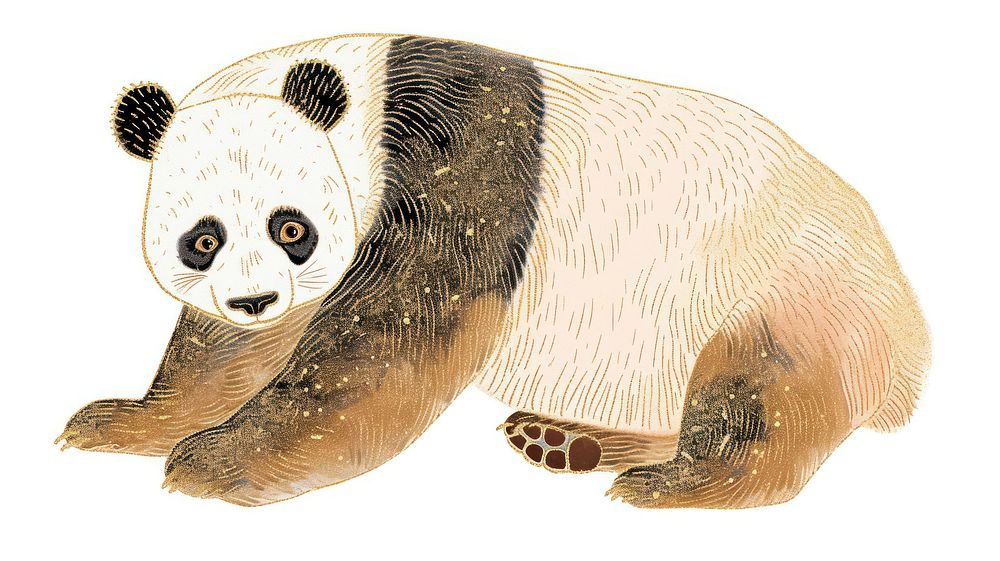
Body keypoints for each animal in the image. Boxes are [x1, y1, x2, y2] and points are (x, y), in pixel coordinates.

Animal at [58, 34, 930, 508]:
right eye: (200, 240)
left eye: (291, 227)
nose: (253, 297)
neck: (361, 101)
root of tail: (910, 342)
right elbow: (228, 353)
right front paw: (122, 422)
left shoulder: (459, 163)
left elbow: (388, 345)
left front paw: (210, 462)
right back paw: (565, 440)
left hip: (782, 291)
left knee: (761, 399)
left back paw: (674, 482)